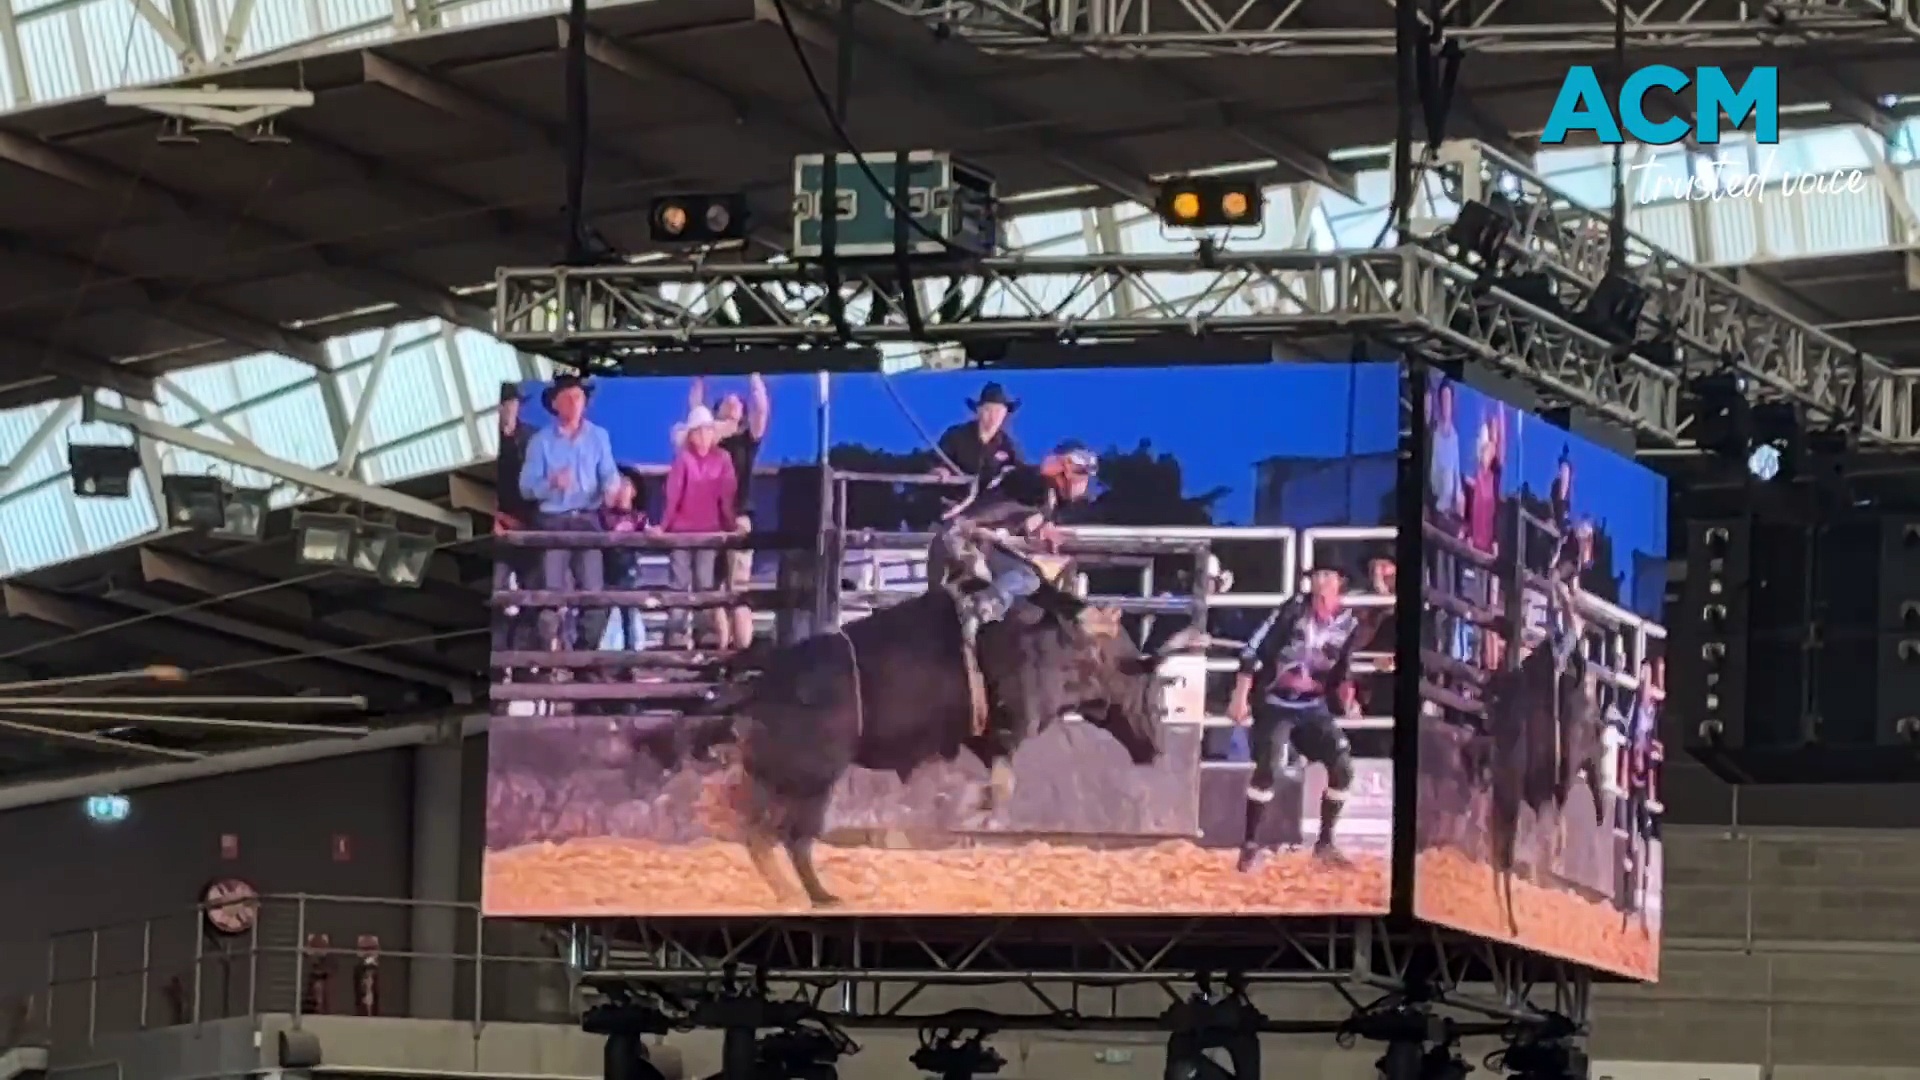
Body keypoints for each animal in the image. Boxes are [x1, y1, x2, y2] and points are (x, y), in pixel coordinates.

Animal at [680, 586, 1188, 907]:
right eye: (1155, 695)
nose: (1157, 749)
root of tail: (764, 682)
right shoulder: (1015, 719)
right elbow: (1001, 780)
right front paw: (960, 805)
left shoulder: (988, 737)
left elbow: (1000, 780)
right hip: (813, 778)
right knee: (791, 836)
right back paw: (816, 896)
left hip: (781, 777)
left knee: (761, 834)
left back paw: (794, 891)